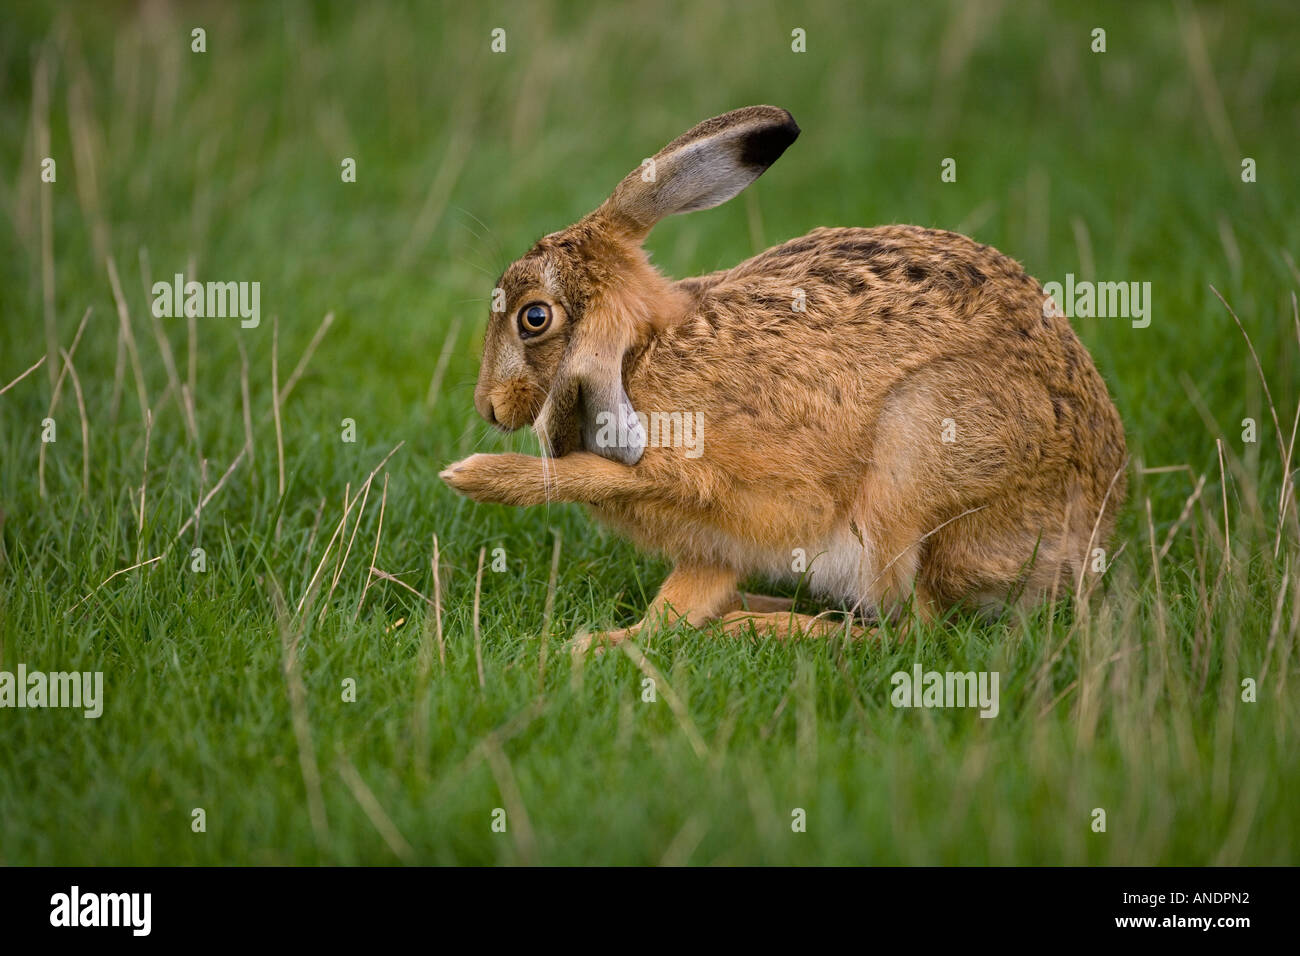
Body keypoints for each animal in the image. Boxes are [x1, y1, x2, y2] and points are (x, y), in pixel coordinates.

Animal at [441, 105, 1127, 649]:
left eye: (534, 318)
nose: (488, 408)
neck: (641, 353)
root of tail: (1083, 548)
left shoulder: (710, 482)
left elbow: (593, 476)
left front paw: (477, 477)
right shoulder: (713, 541)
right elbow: (683, 596)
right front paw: (617, 638)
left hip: (916, 464)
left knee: (913, 631)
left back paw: (762, 625)